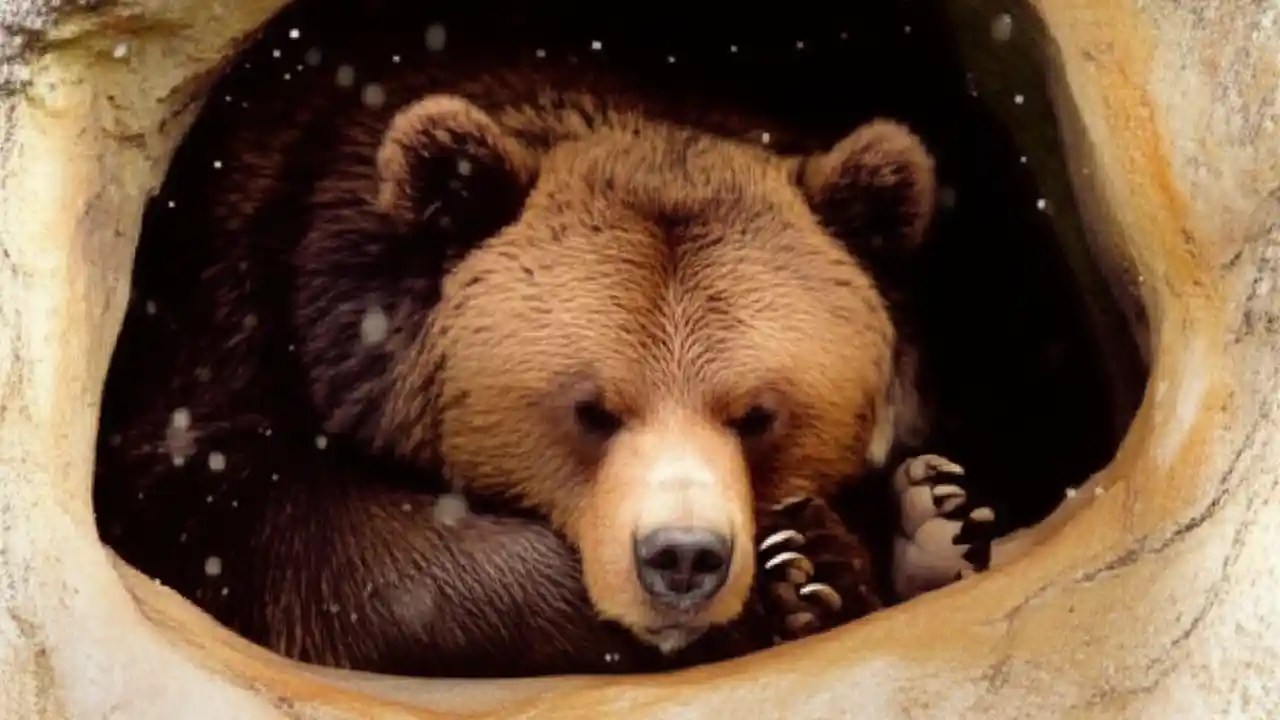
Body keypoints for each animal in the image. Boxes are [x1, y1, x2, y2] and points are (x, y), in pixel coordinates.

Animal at [93, 50, 996, 678]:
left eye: (758, 414)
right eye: (591, 409)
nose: (683, 558)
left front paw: (886, 532)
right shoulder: (232, 323)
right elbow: (304, 535)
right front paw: (799, 571)